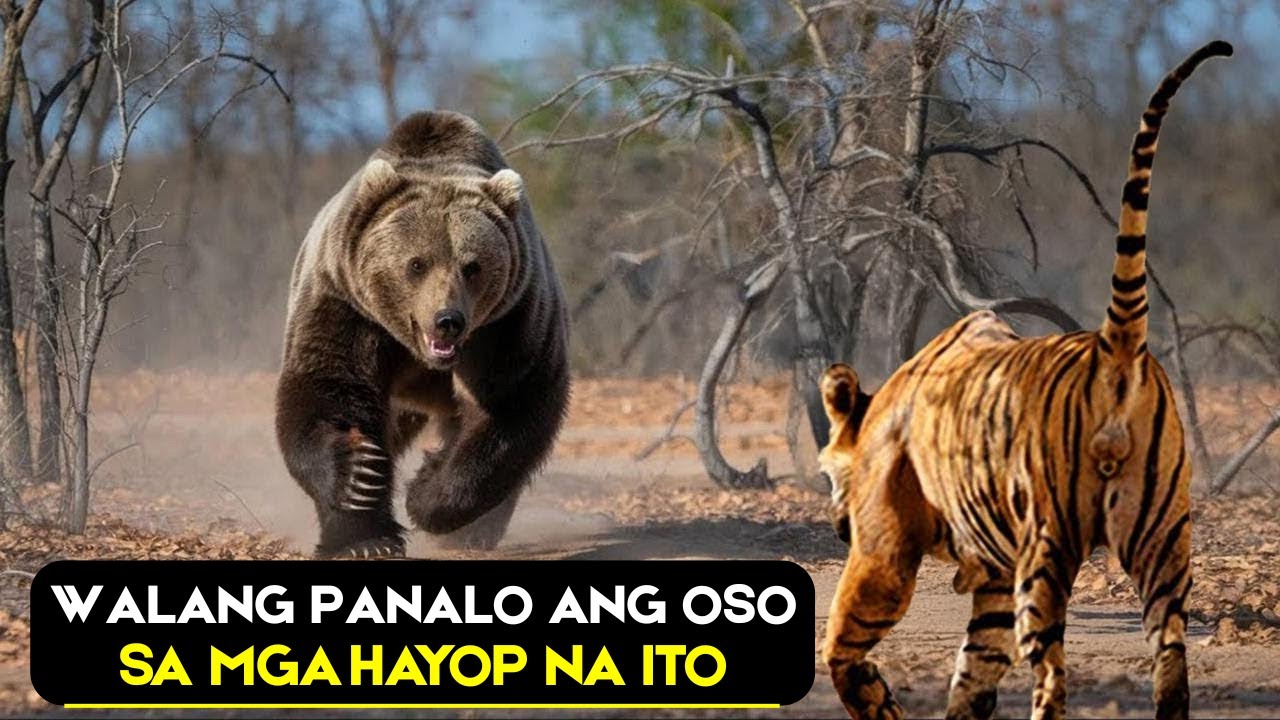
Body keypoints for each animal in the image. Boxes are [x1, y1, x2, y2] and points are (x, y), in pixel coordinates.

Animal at [275, 111, 570, 558]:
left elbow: (506, 405)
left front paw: (426, 495)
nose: (447, 320)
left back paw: (475, 531)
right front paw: (361, 497)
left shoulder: (508, 322)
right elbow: (330, 387)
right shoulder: (346, 303)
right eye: (416, 263)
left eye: (473, 266)